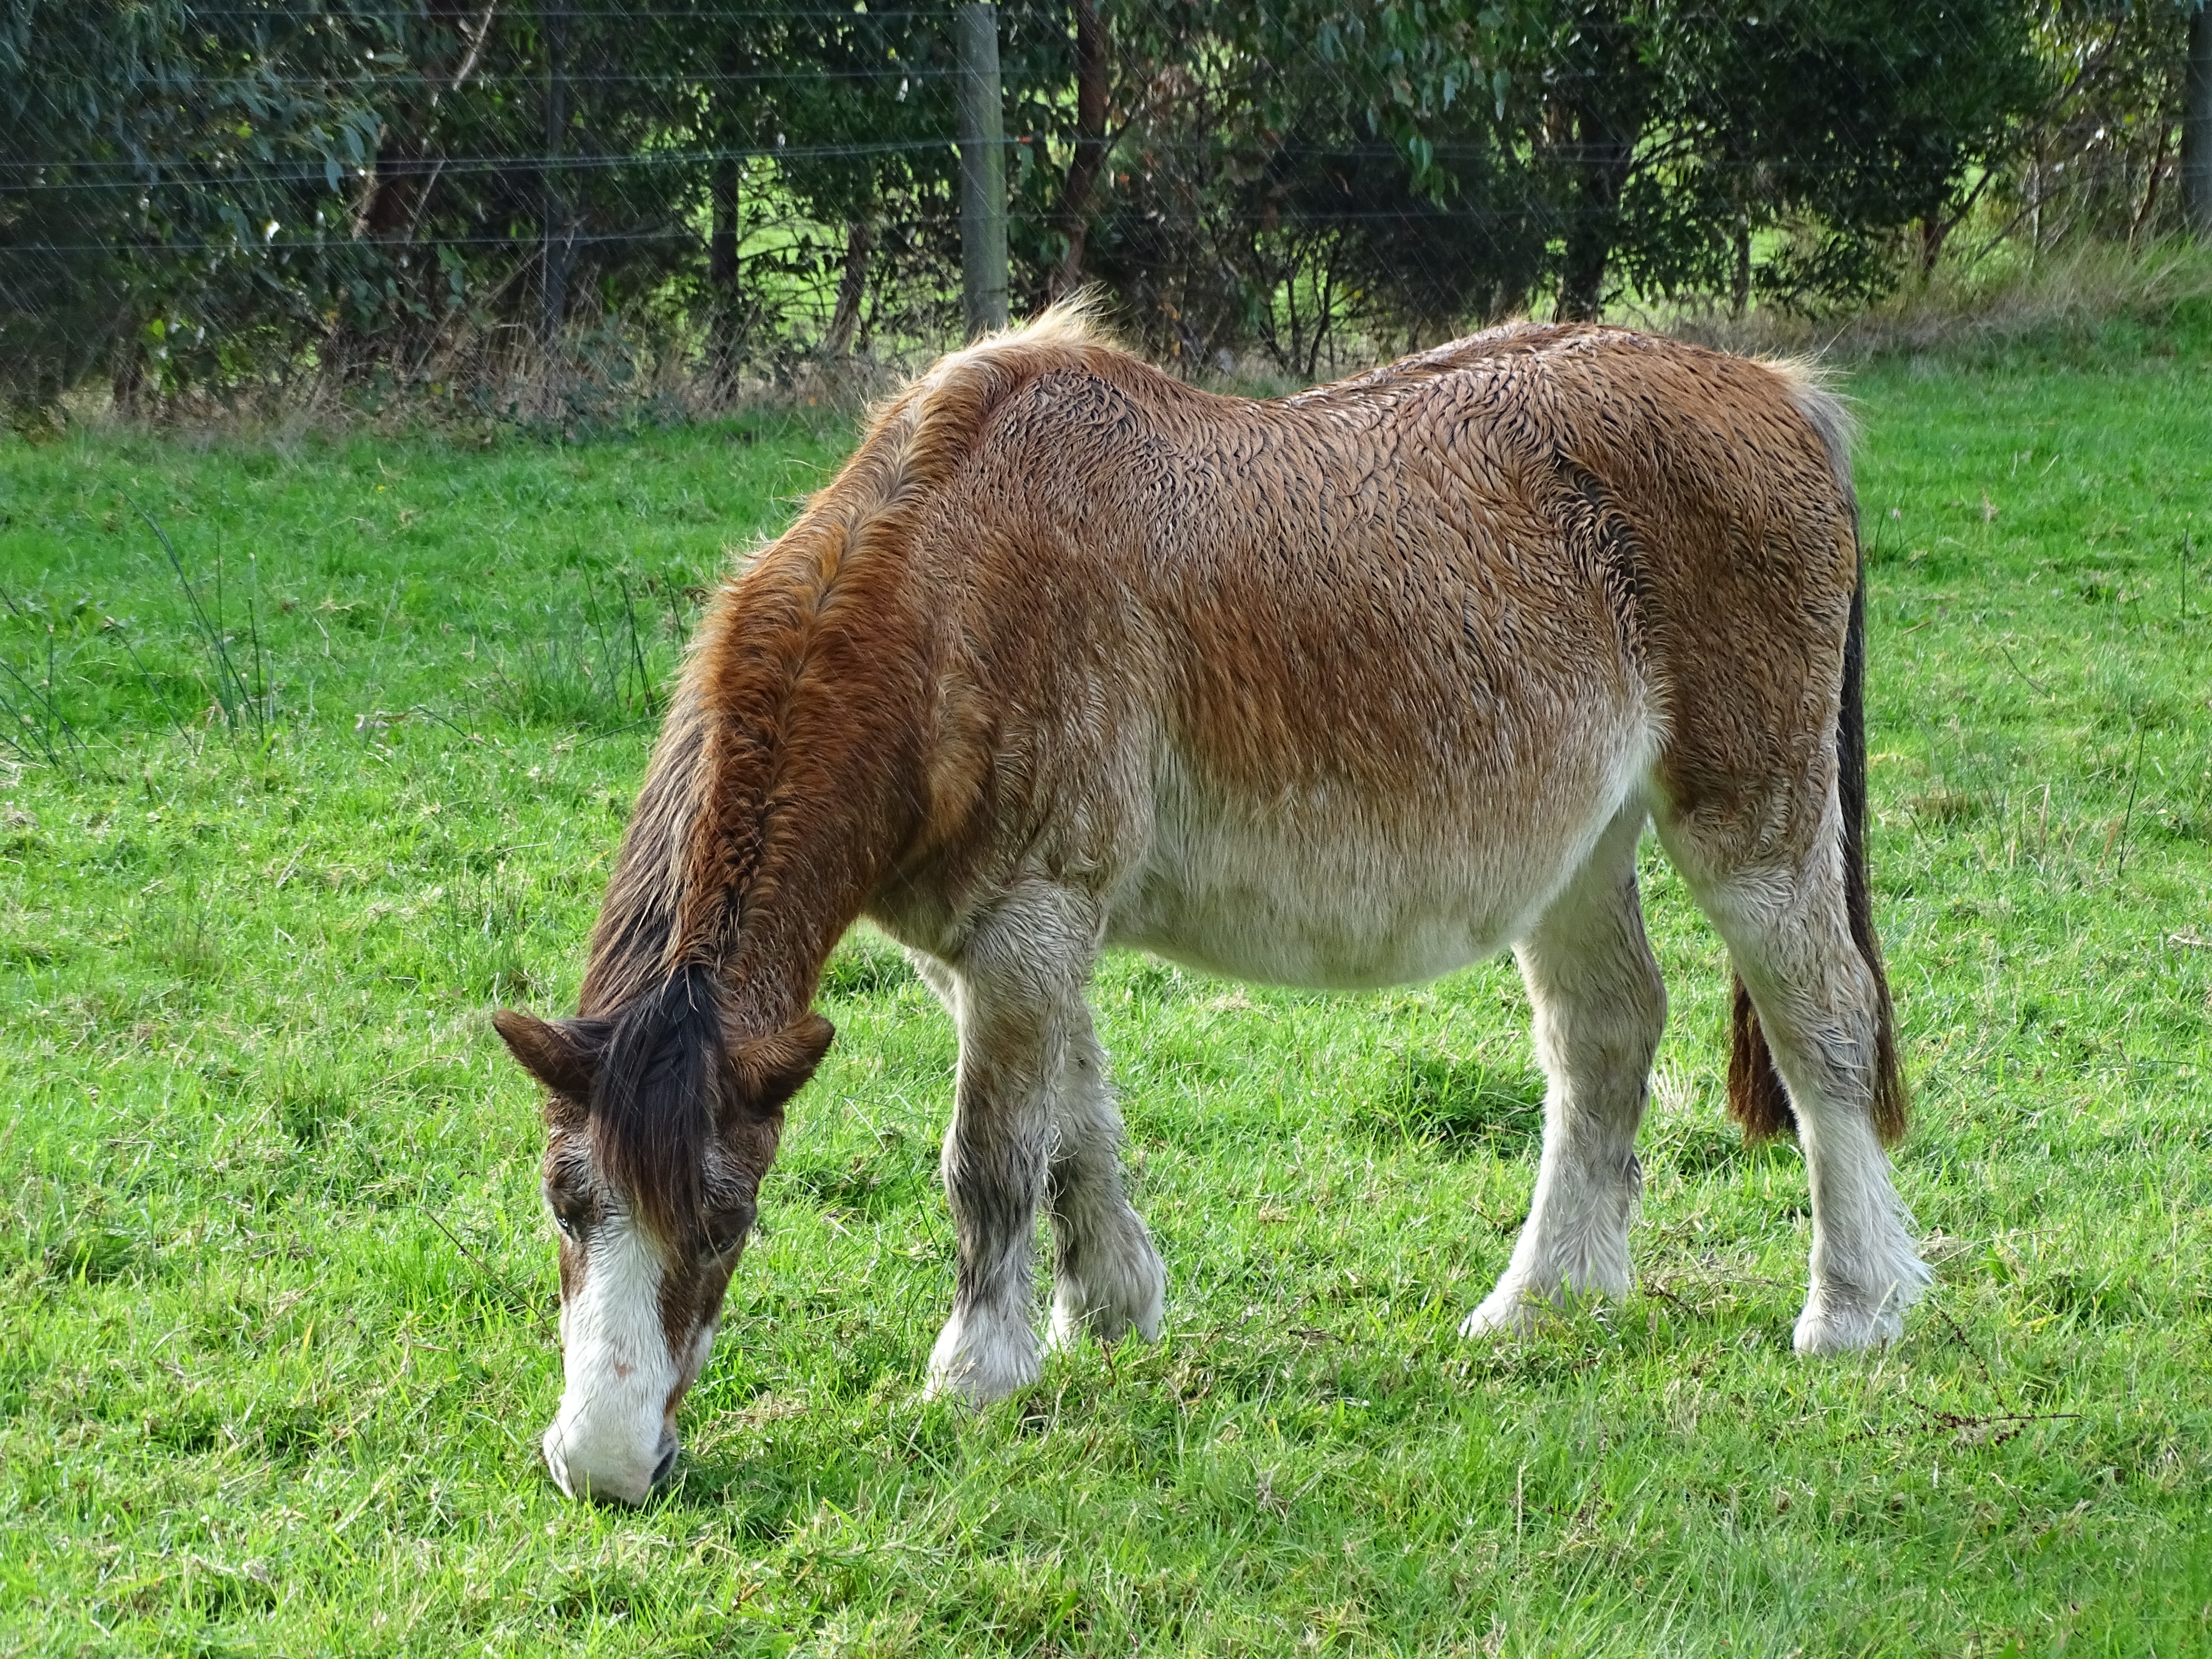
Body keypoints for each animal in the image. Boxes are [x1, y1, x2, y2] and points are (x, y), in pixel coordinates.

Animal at [493, 306, 1929, 1503]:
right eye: (568, 1204)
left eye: (728, 1218)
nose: (605, 1465)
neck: (950, 587)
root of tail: (1780, 395)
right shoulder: (991, 948)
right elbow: (1076, 1129)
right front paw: (1110, 1311)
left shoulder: (1030, 924)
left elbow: (991, 1160)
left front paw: (977, 1375)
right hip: (1580, 851)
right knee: (1606, 1037)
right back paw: (1545, 1302)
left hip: (1751, 821)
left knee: (1822, 1027)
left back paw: (1853, 1309)